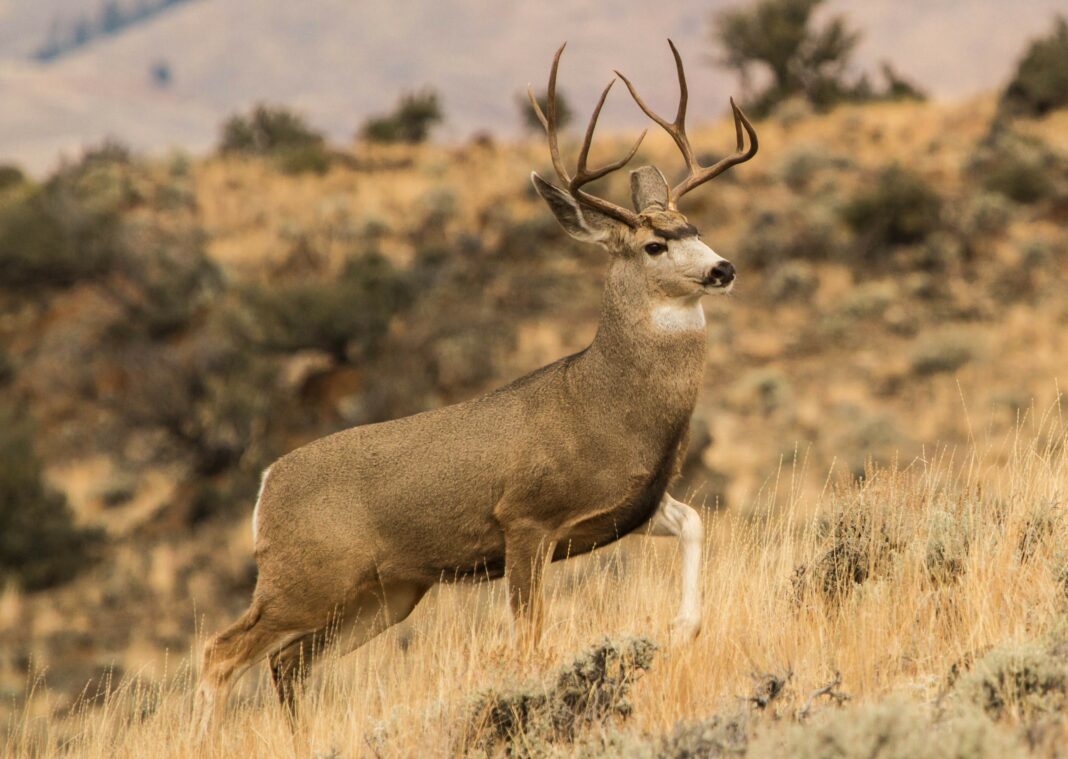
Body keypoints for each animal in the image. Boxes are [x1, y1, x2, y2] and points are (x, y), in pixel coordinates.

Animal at [194, 39, 757, 736]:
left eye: (695, 227)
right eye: (655, 245)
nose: (723, 268)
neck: (605, 406)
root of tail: (266, 486)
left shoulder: (631, 507)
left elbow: (695, 522)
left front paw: (681, 629)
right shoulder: (525, 518)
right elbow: (529, 639)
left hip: (385, 591)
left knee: (288, 662)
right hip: (306, 575)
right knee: (222, 652)